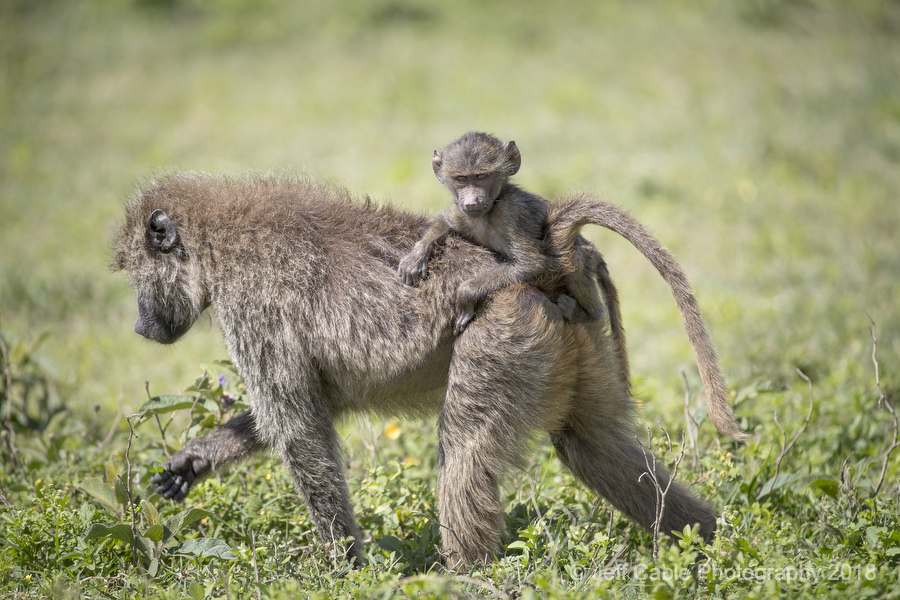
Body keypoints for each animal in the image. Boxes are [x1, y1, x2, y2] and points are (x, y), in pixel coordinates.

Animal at [113, 171, 739, 568]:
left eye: (136, 275)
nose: (140, 327)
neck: (218, 247)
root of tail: (552, 261)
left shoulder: (254, 309)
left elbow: (300, 428)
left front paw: (342, 569)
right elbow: (316, 406)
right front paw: (195, 459)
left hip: (503, 333)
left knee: (463, 455)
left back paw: (466, 578)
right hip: (574, 338)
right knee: (593, 446)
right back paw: (709, 540)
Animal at [398, 132, 631, 389]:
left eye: (481, 177)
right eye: (461, 179)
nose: (471, 202)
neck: (491, 209)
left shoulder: (512, 213)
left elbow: (531, 263)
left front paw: (464, 297)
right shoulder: (460, 213)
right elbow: (444, 223)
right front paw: (415, 257)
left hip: (583, 260)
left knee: (574, 259)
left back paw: (589, 313)